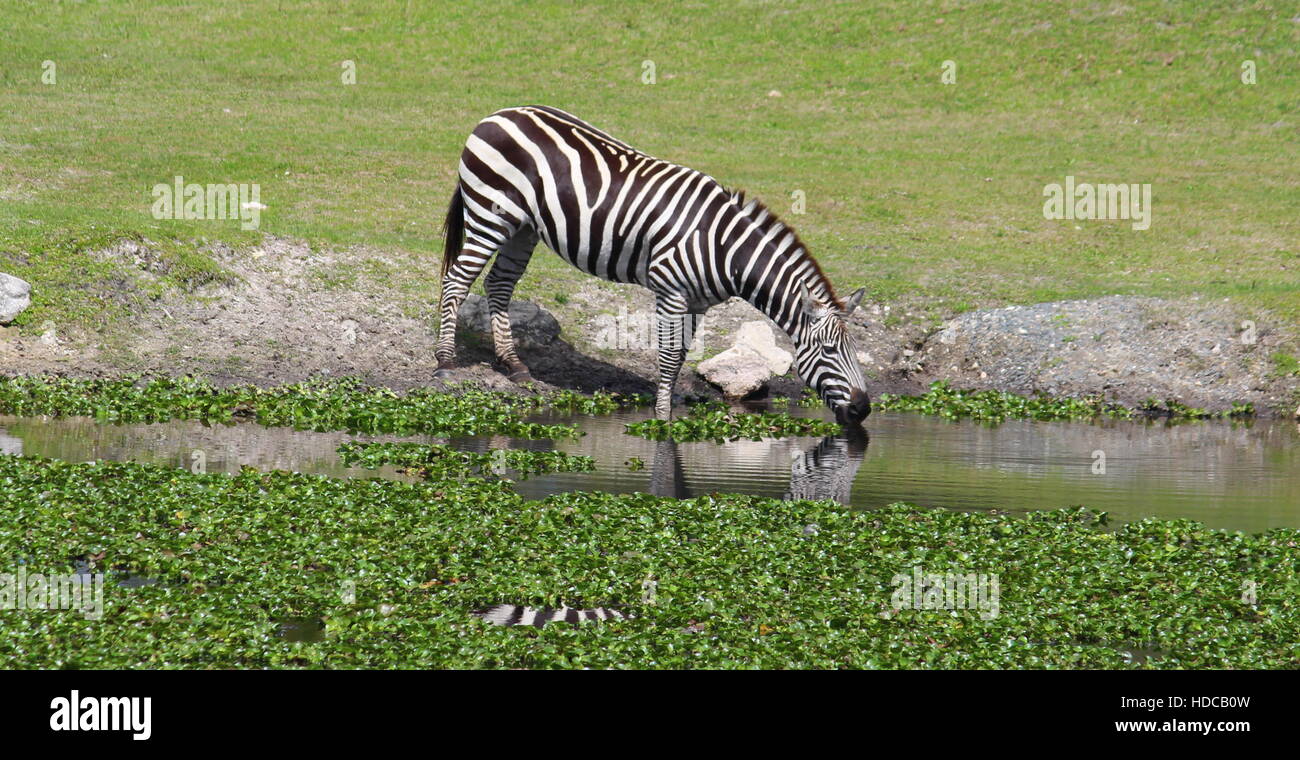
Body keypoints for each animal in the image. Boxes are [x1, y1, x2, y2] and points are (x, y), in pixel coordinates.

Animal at [437, 105, 871, 424]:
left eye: (855, 349)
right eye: (830, 351)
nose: (864, 409)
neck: (723, 247)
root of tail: (500, 113)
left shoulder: (697, 303)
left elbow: (679, 356)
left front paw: (669, 406)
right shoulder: (670, 290)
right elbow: (666, 354)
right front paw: (662, 418)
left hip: (524, 227)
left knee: (499, 284)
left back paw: (513, 365)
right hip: (491, 214)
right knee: (457, 279)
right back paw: (445, 361)